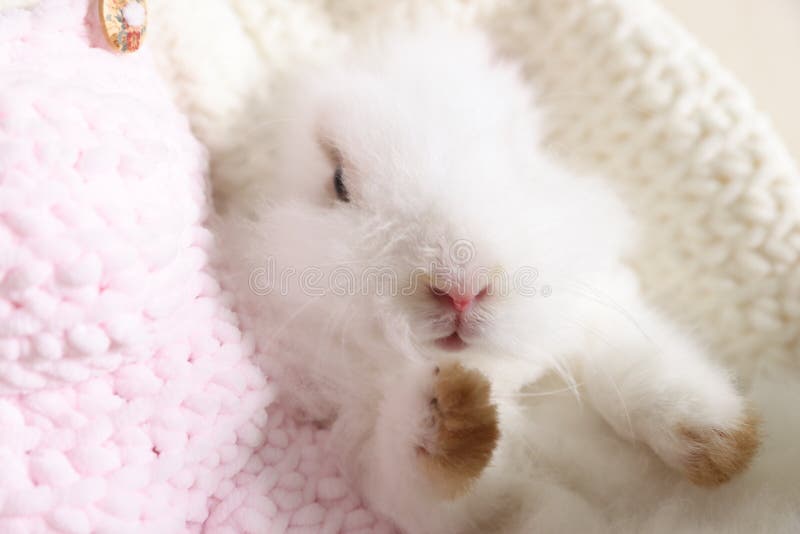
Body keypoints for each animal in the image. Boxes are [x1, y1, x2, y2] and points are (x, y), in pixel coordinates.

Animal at [218, 29, 773, 534]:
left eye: (520, 165)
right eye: (338, 184)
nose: (461, 289)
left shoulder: (596, 317)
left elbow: (639, 374)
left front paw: (728, 447)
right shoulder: (386, 459)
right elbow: (423, 467)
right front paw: (454, 409)